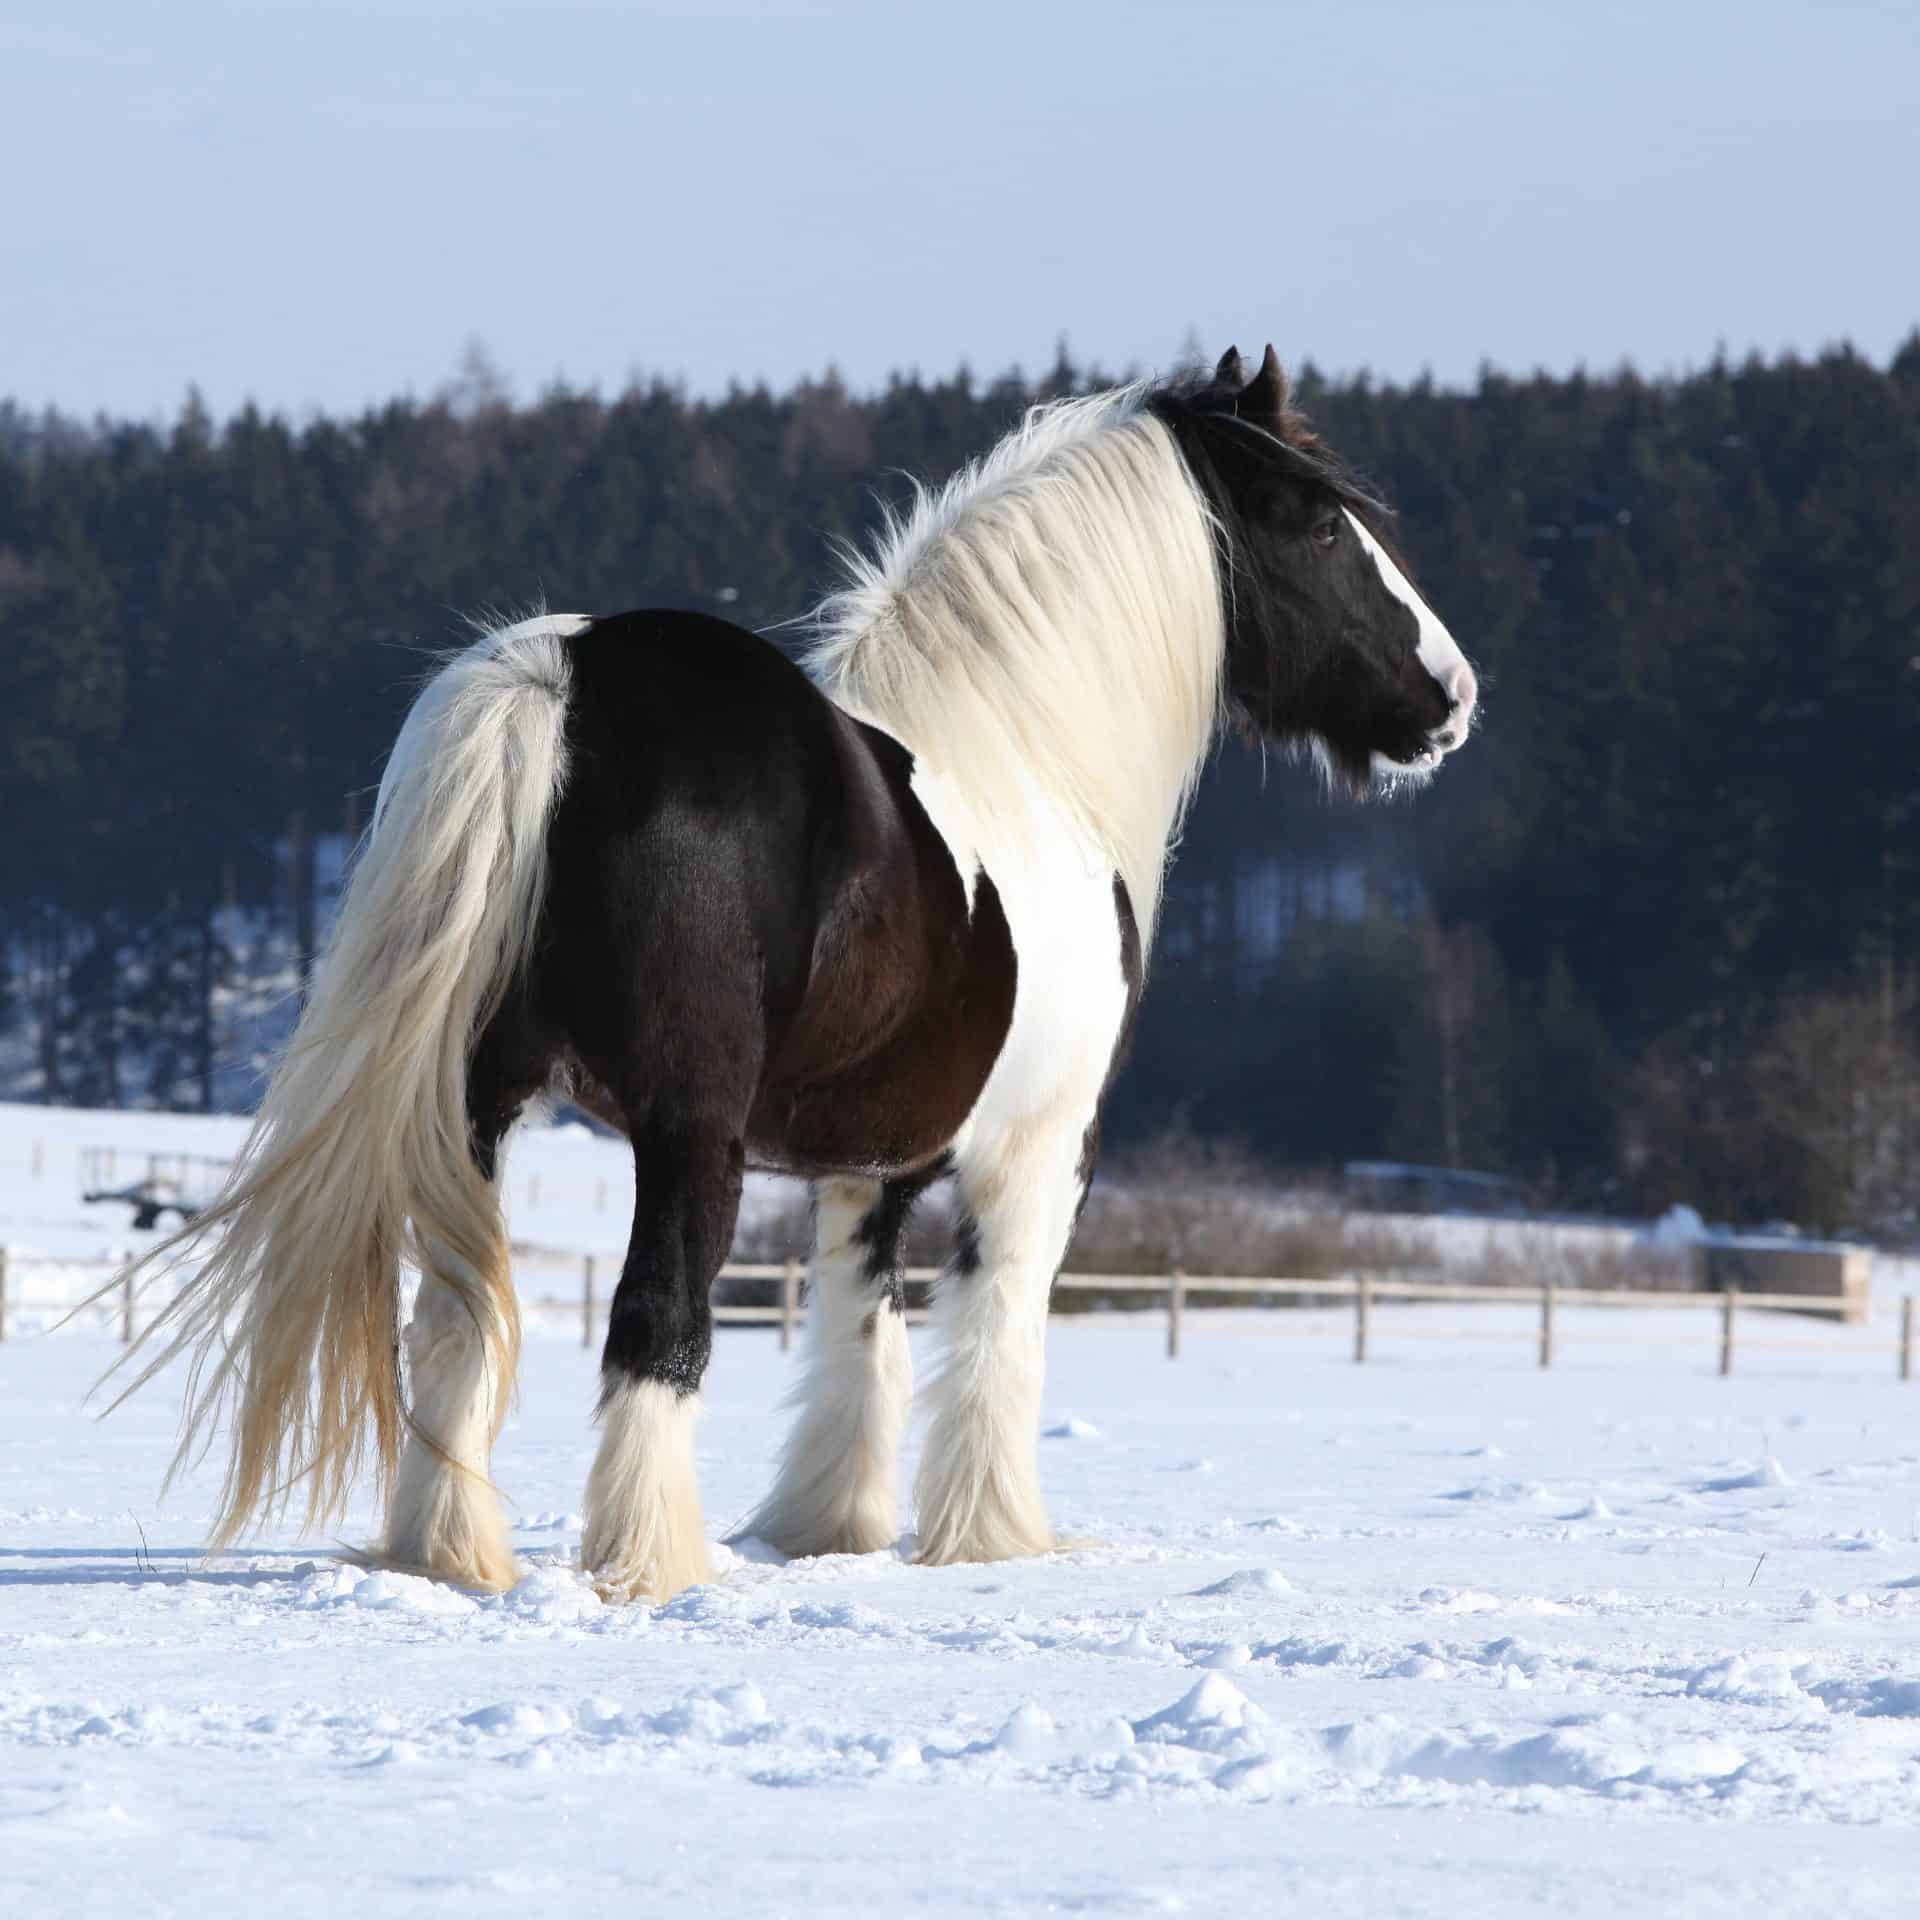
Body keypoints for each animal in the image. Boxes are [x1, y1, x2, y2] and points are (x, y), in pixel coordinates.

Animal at [106, 345, 1477, 1603]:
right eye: (1318, 522)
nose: (1452, 696)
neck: (1030, 763)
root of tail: (563, 681)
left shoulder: (868, 1163)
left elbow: (858, 1332)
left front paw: (831, 1529)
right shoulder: (1039, 1148)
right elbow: (994, 1333)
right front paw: (993, 1539)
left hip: (476, 1104)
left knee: (448, 1317)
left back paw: (450, 1557)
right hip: (687, 1131)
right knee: (655, 1322)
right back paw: (652, 1566)